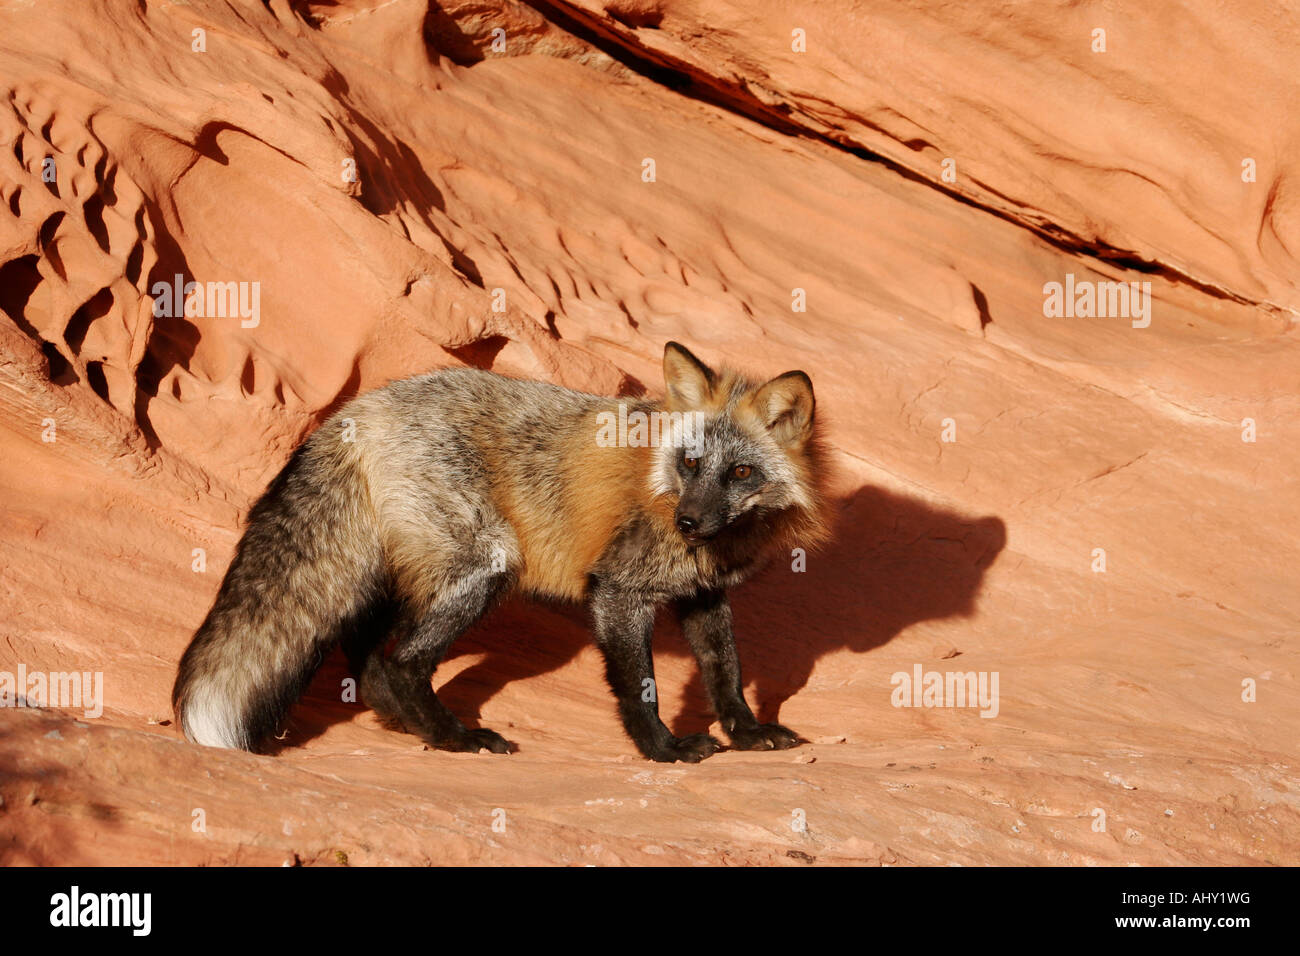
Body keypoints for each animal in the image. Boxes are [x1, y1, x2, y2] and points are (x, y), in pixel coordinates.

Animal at [172, 342, 831, 762]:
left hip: (397, 573)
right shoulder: (618, 590)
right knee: (402, 661)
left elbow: (727, 673)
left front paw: (747, 734)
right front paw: (662, 749)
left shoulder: (703, 594)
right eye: (691, 463)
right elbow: (638, 685)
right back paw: (454, 739)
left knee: (368, 651)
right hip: (486, 564)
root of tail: (361, 407)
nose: (688, 522)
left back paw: (405, 721)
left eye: (741, 472)